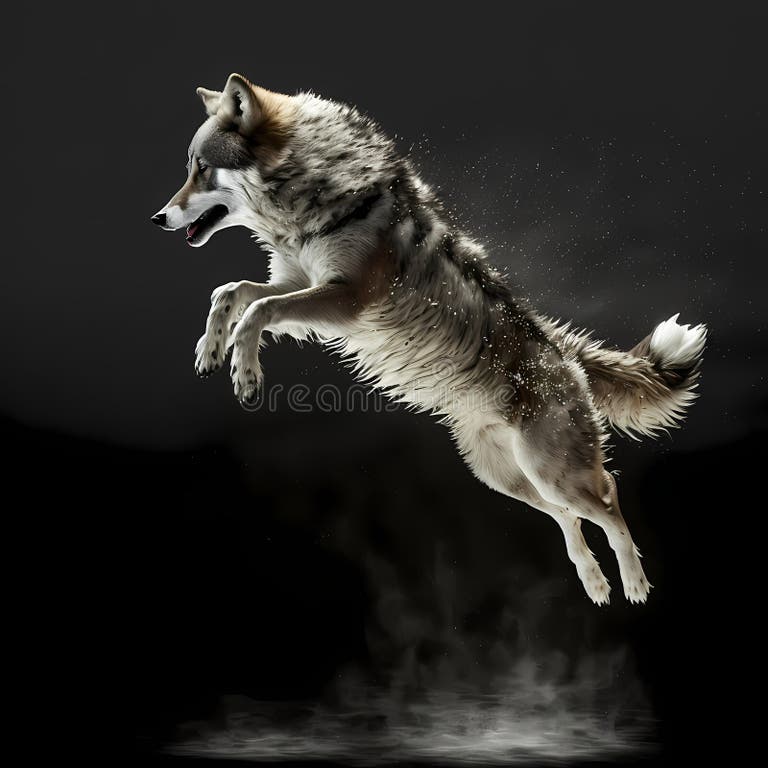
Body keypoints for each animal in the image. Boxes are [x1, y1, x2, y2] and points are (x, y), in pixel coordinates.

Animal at [152, 74, 706, 604]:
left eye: (202, 169)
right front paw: (211, 349)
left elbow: (256, 310)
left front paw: (244, 373)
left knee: (609, 499)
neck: (310, 196)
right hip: (508, 480)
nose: (158, 218)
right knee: (565, 517)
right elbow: (231, 293)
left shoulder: (344, 299)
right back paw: (594, 585)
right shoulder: (297, 284)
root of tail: (562, 350)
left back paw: (634, 584)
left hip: (552, 473)